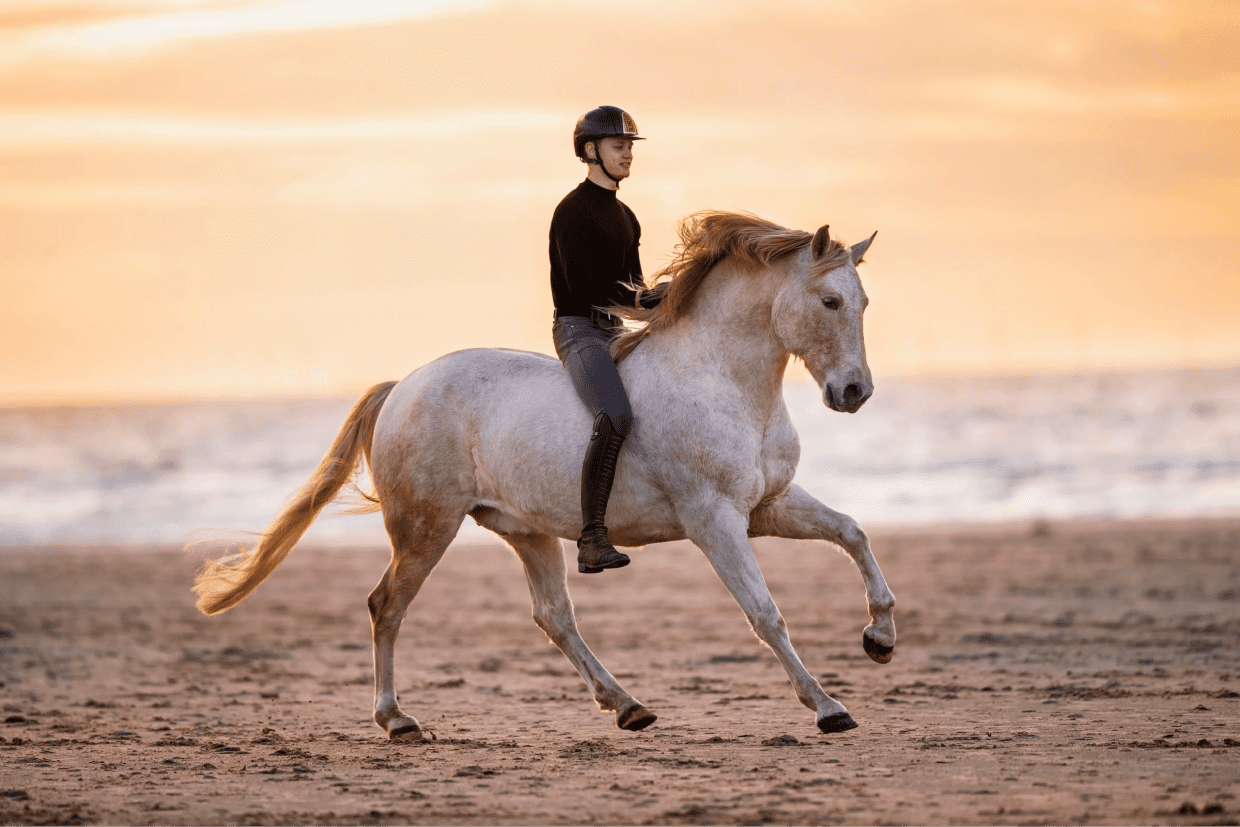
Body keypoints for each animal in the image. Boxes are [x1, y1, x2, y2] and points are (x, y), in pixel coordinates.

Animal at [193, 211, 897, 740]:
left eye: (863, 302)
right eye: (830, 300)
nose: (854, 393)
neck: (723, 381)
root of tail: (403, 387)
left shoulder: (768, 506)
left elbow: (853, 533)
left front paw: (880, 637)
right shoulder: (715, 521)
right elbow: (765, 613)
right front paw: (829, 708)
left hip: (526, 531)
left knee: (554, 616)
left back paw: (628, 706)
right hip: (426, 528)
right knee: (386, 605)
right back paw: (396, 720)